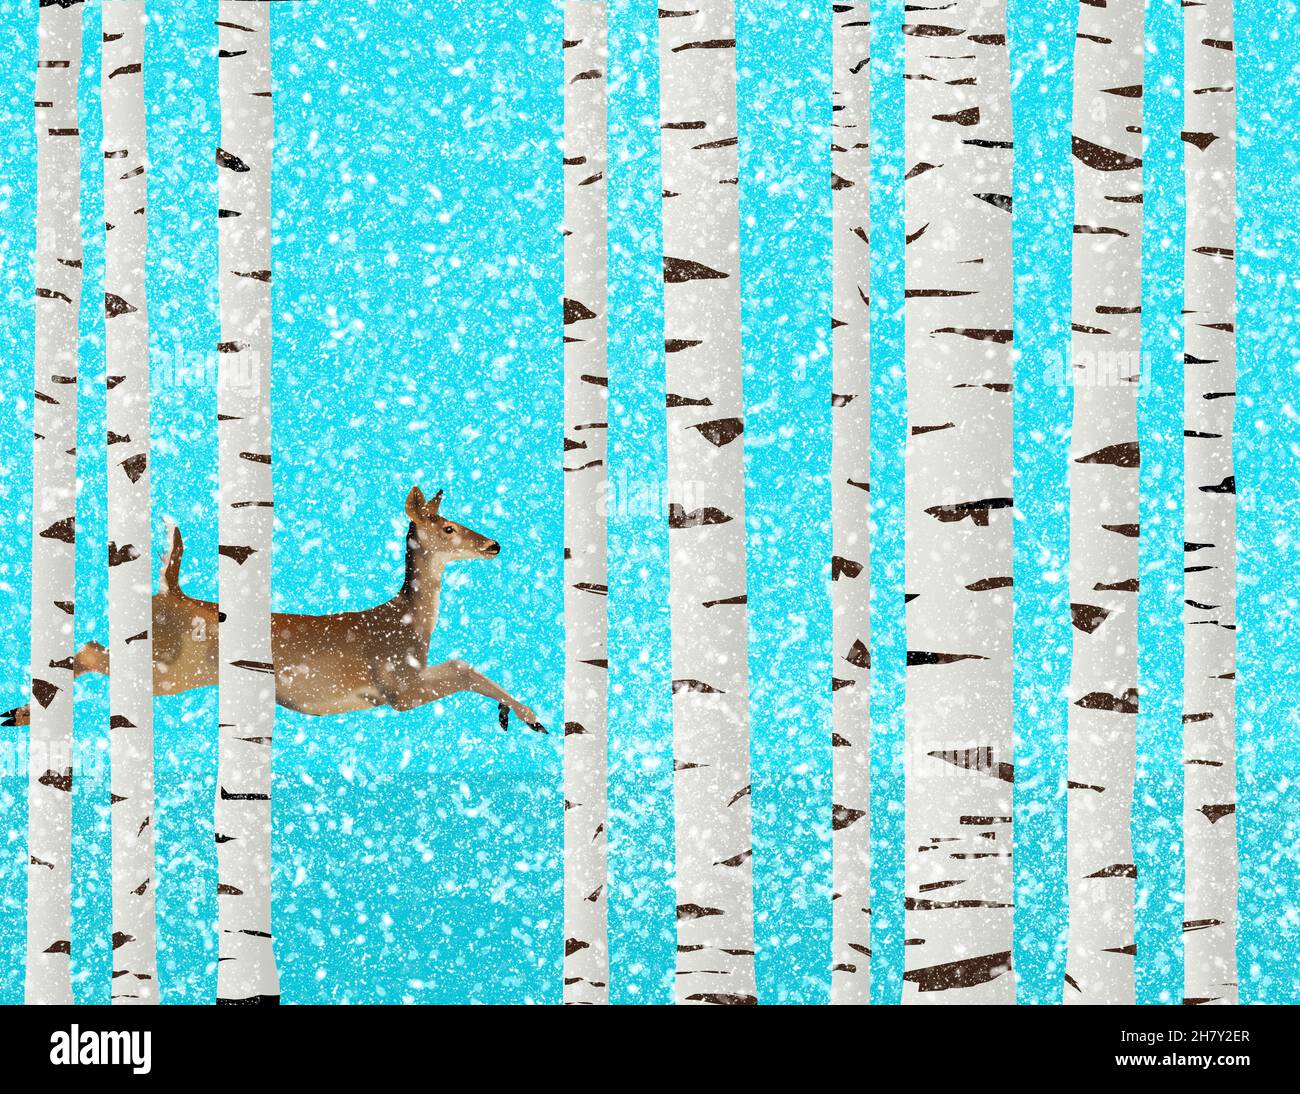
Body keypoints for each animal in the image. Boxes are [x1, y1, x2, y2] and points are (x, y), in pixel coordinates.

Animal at [2, 487, 544, 732]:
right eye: (448, 527)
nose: (494, 544)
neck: (407, 626)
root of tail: (168, 593)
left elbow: (463, 664)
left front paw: (515, 714)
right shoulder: (396, 687)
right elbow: (464, 667)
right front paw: (529, 715)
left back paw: (23, 712)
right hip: (174, 667)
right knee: (94, 650)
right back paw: (25, 712)